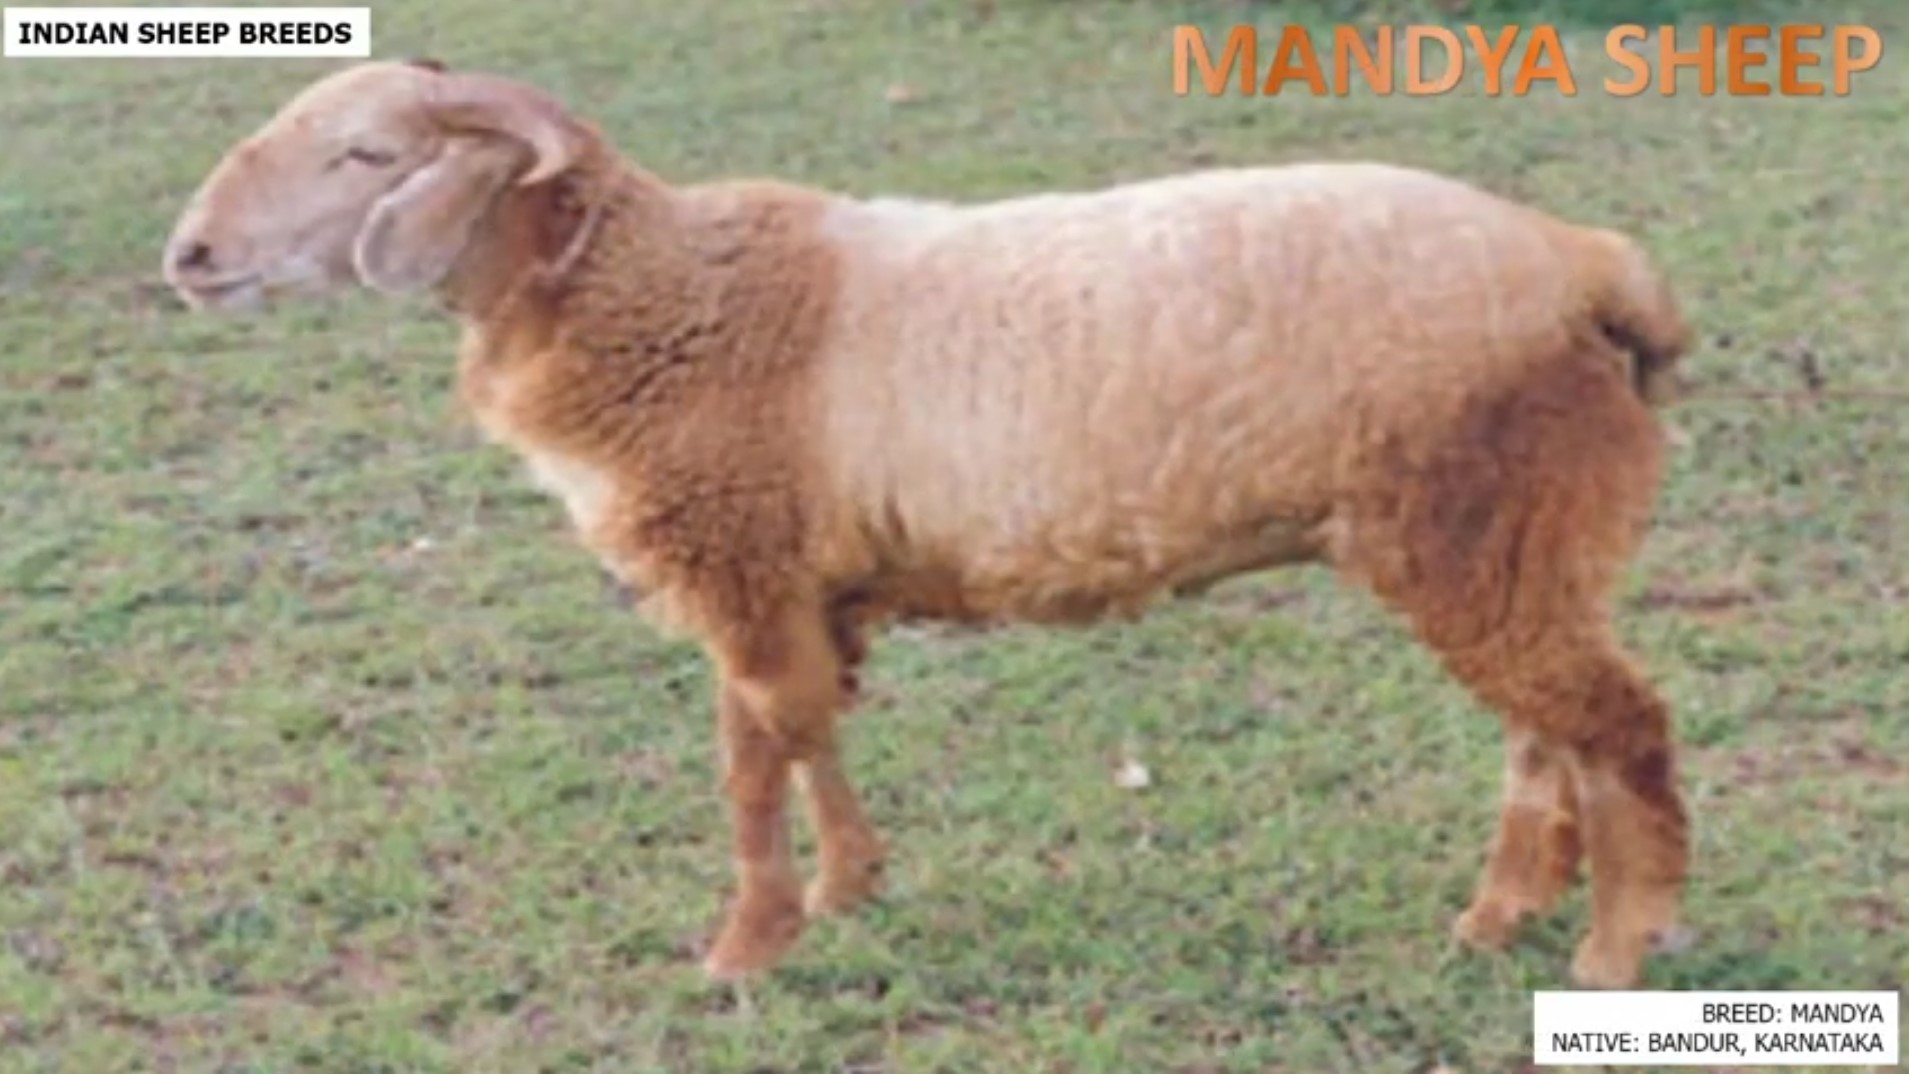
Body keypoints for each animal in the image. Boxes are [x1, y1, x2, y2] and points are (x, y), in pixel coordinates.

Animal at [161, 58, 1697, 990]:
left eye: (366, 154)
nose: (191, 256)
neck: (659, 298)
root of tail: (1587, 266)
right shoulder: (784, 578)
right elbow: (799, 737)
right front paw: (847, 889)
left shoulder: (734, 558)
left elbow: (750, 762)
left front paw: (747, 945)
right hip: (1512, 536)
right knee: (1547, 730)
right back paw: (1502, 913)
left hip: (1479, 521)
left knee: (1617, 726)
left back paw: (1613, 955)